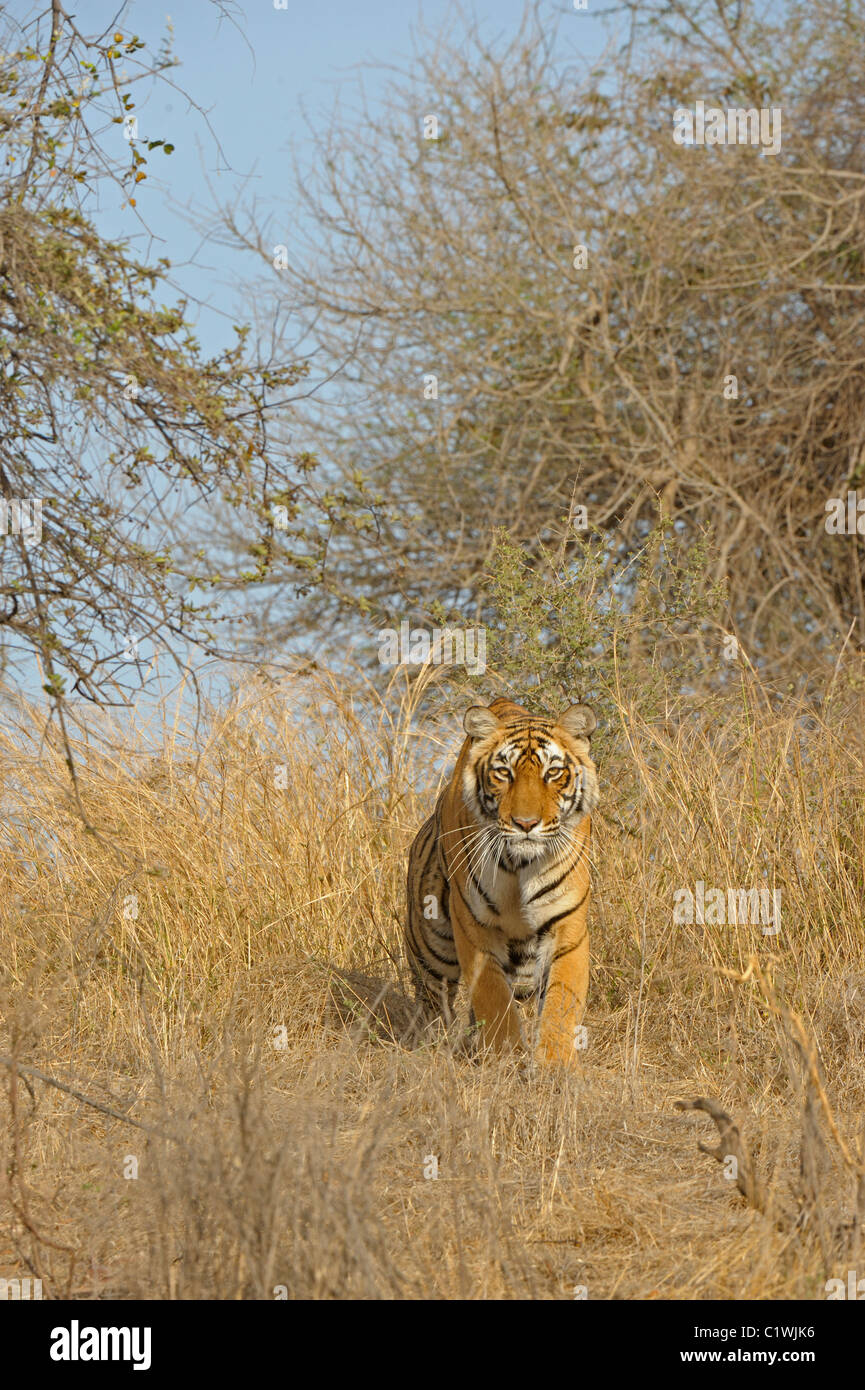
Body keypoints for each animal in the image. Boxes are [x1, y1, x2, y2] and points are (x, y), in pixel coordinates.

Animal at [405, 696, 599, 1065]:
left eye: (552, 773)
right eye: (503, 773)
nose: (526, 824)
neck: (519, 864)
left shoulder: (566, 924)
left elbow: (561, 1002)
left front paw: (556, 1065)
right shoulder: (473, 924)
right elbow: (493, 998)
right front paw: (505, 1057)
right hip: (432, 947)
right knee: (434, 1001)